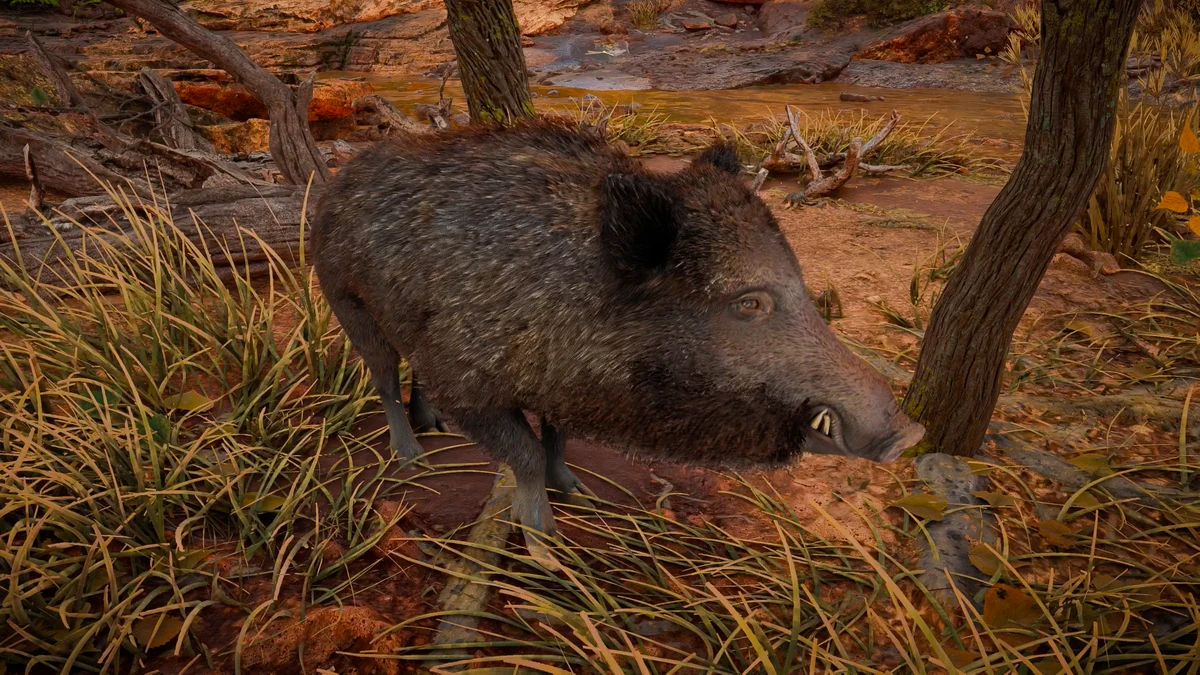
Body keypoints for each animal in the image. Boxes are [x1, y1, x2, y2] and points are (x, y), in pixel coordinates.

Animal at [311, 119, 925, 554]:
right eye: (748, 303)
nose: (908, 433)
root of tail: (337, 185)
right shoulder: (470, 382)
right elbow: (526, 454)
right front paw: (546, 545)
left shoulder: (556, 384)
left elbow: (556, 438)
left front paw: (577, 492)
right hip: (347, 301)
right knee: (383, 377)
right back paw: (413, 458)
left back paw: (433, 428)